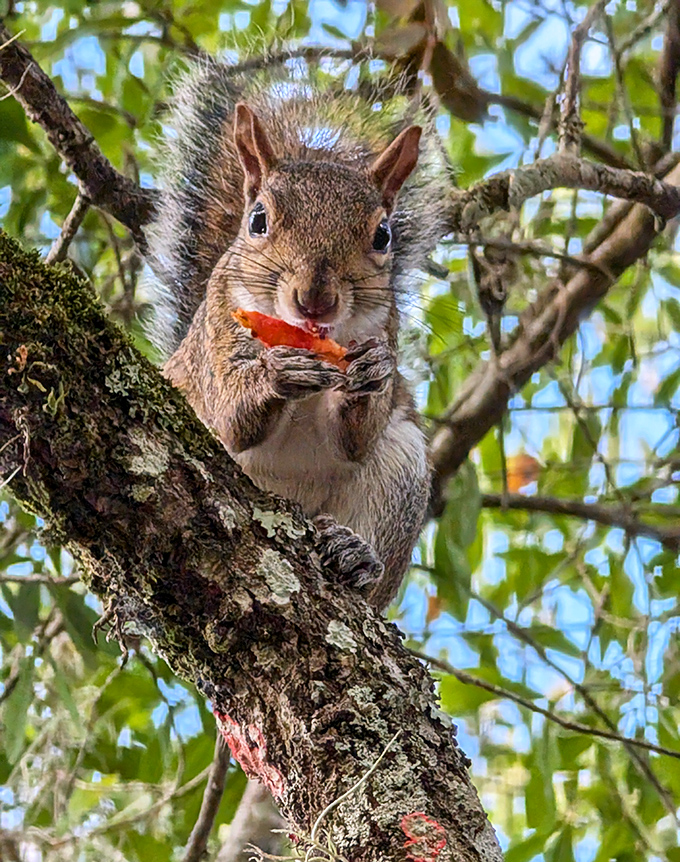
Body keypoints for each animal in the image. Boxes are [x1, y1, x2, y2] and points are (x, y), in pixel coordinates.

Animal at [146, 60, 445, 610]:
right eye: (258, 219)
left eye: (383, 235)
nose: (315, 299)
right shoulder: (216, 331)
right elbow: (231, 413)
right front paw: (277, 373)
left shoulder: (383, 329)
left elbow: (354, 439)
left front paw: (371, 372)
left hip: (402, 470)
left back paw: (355, 556)